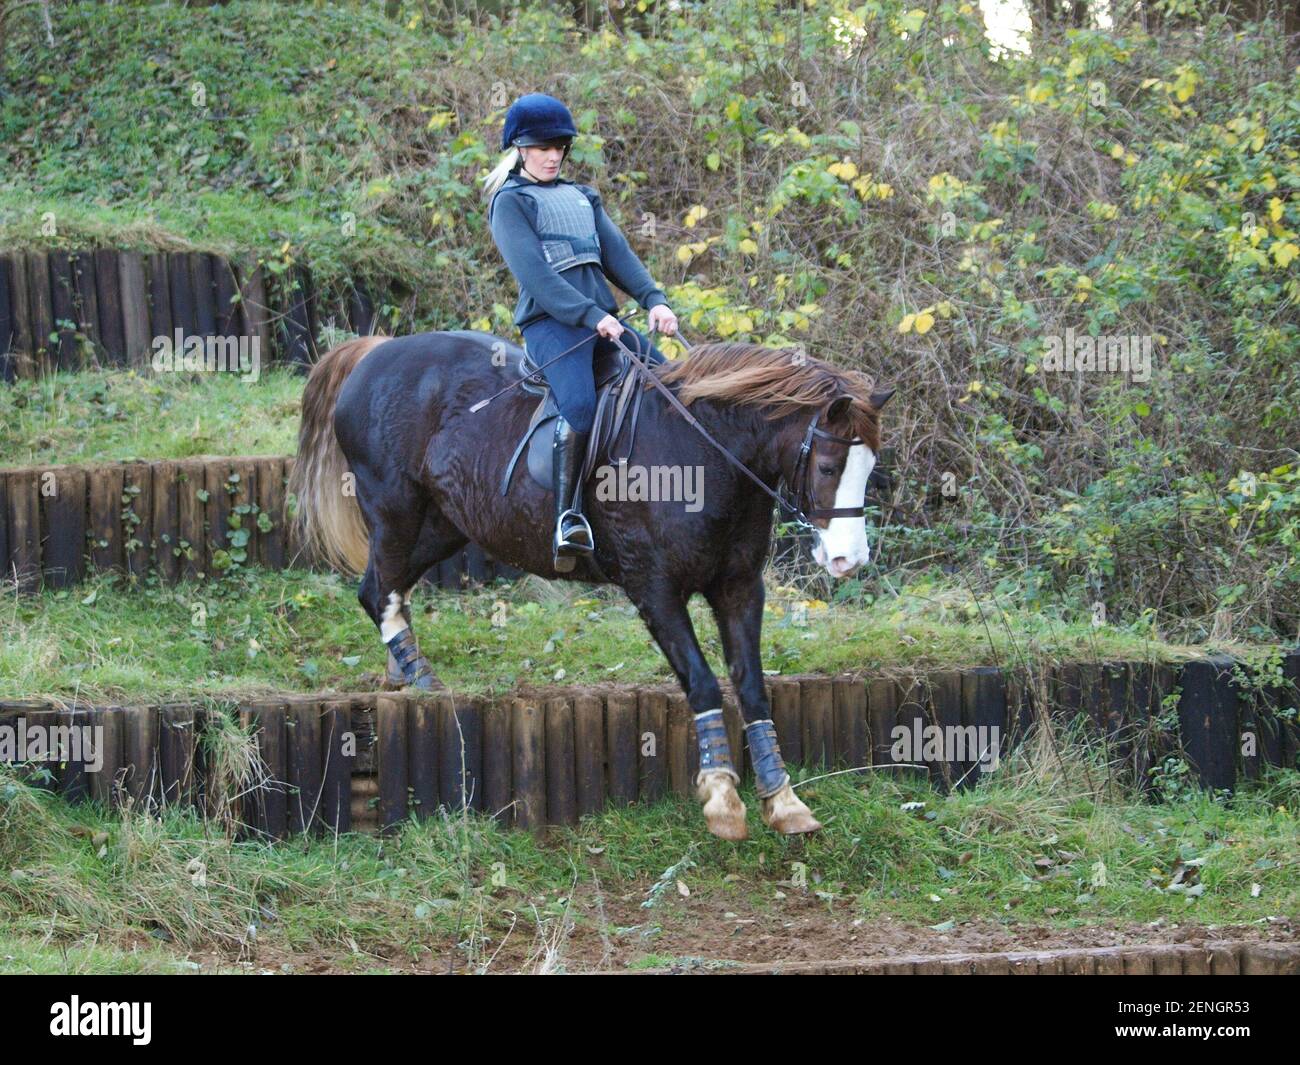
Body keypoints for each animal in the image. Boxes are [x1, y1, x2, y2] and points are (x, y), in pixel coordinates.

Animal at [289, 329, 893, 839]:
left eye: (870, 469)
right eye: (828, 467)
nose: (849, 560)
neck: (703, 452)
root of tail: (373, 352)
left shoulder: (740, 586)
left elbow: (752, 687)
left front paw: (783, 799)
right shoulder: (654, 589)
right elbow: (702, 685)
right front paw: (722, 797)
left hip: (443, 523)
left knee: (389, 586)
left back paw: (402, 671)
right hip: (394, 509)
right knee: (376, 588)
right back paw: (421, 677)